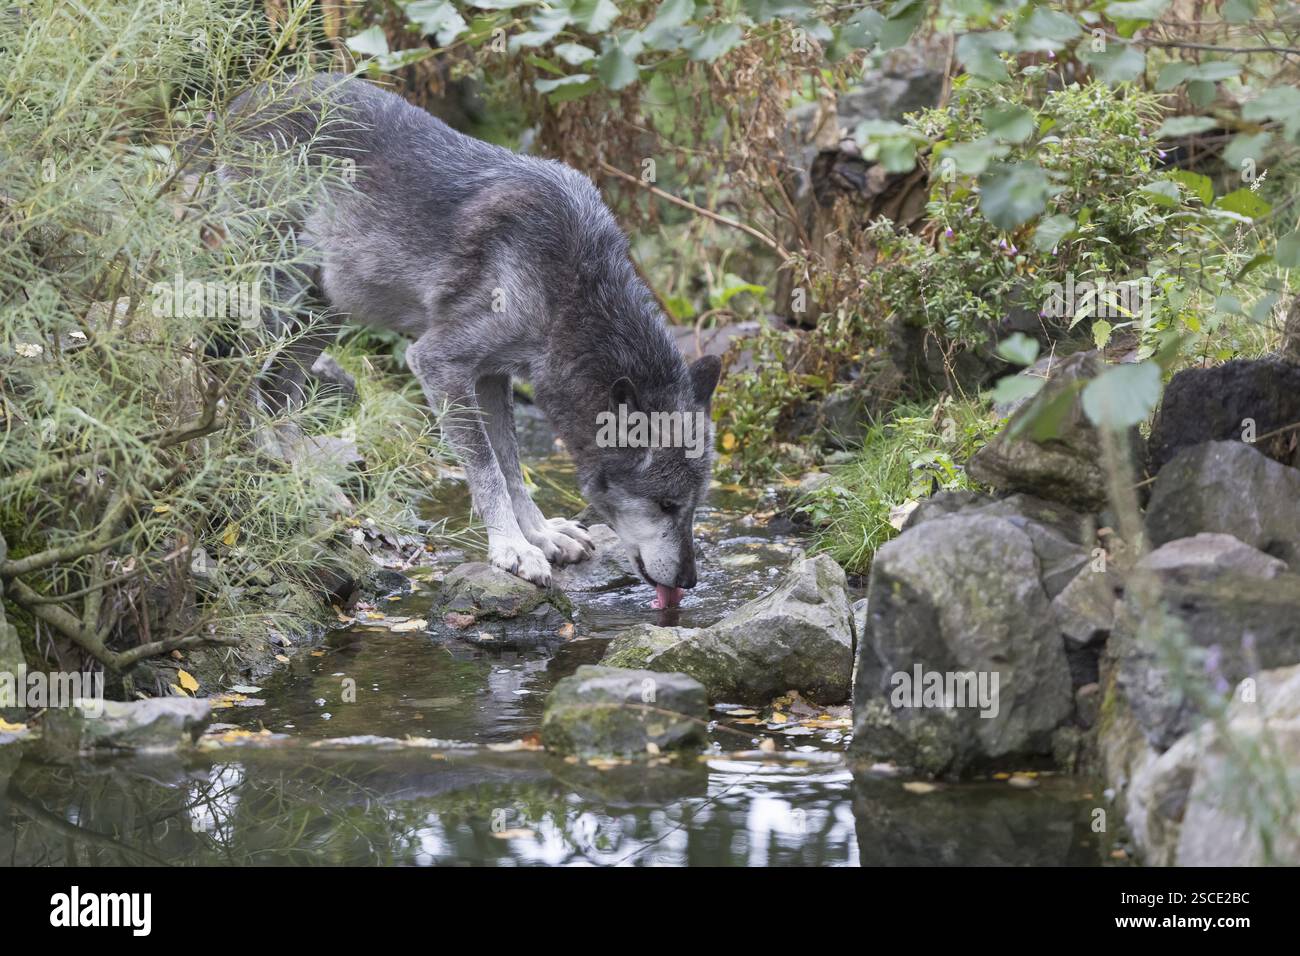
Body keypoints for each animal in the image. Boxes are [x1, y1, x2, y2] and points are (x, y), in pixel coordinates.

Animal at [223, 75, 720, 606]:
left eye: (694, 504)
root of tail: (241, 103)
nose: (689, 580)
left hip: (324, 312)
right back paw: (260, 460)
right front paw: (513, 551)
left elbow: (513, 465)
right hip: (276, 296)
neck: (570, 290)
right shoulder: (437, 362)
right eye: (665, 504)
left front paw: (542, 535)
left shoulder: (492, 375)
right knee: (240, 379)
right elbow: (488, 470)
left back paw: (309, 485)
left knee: (279, 396)